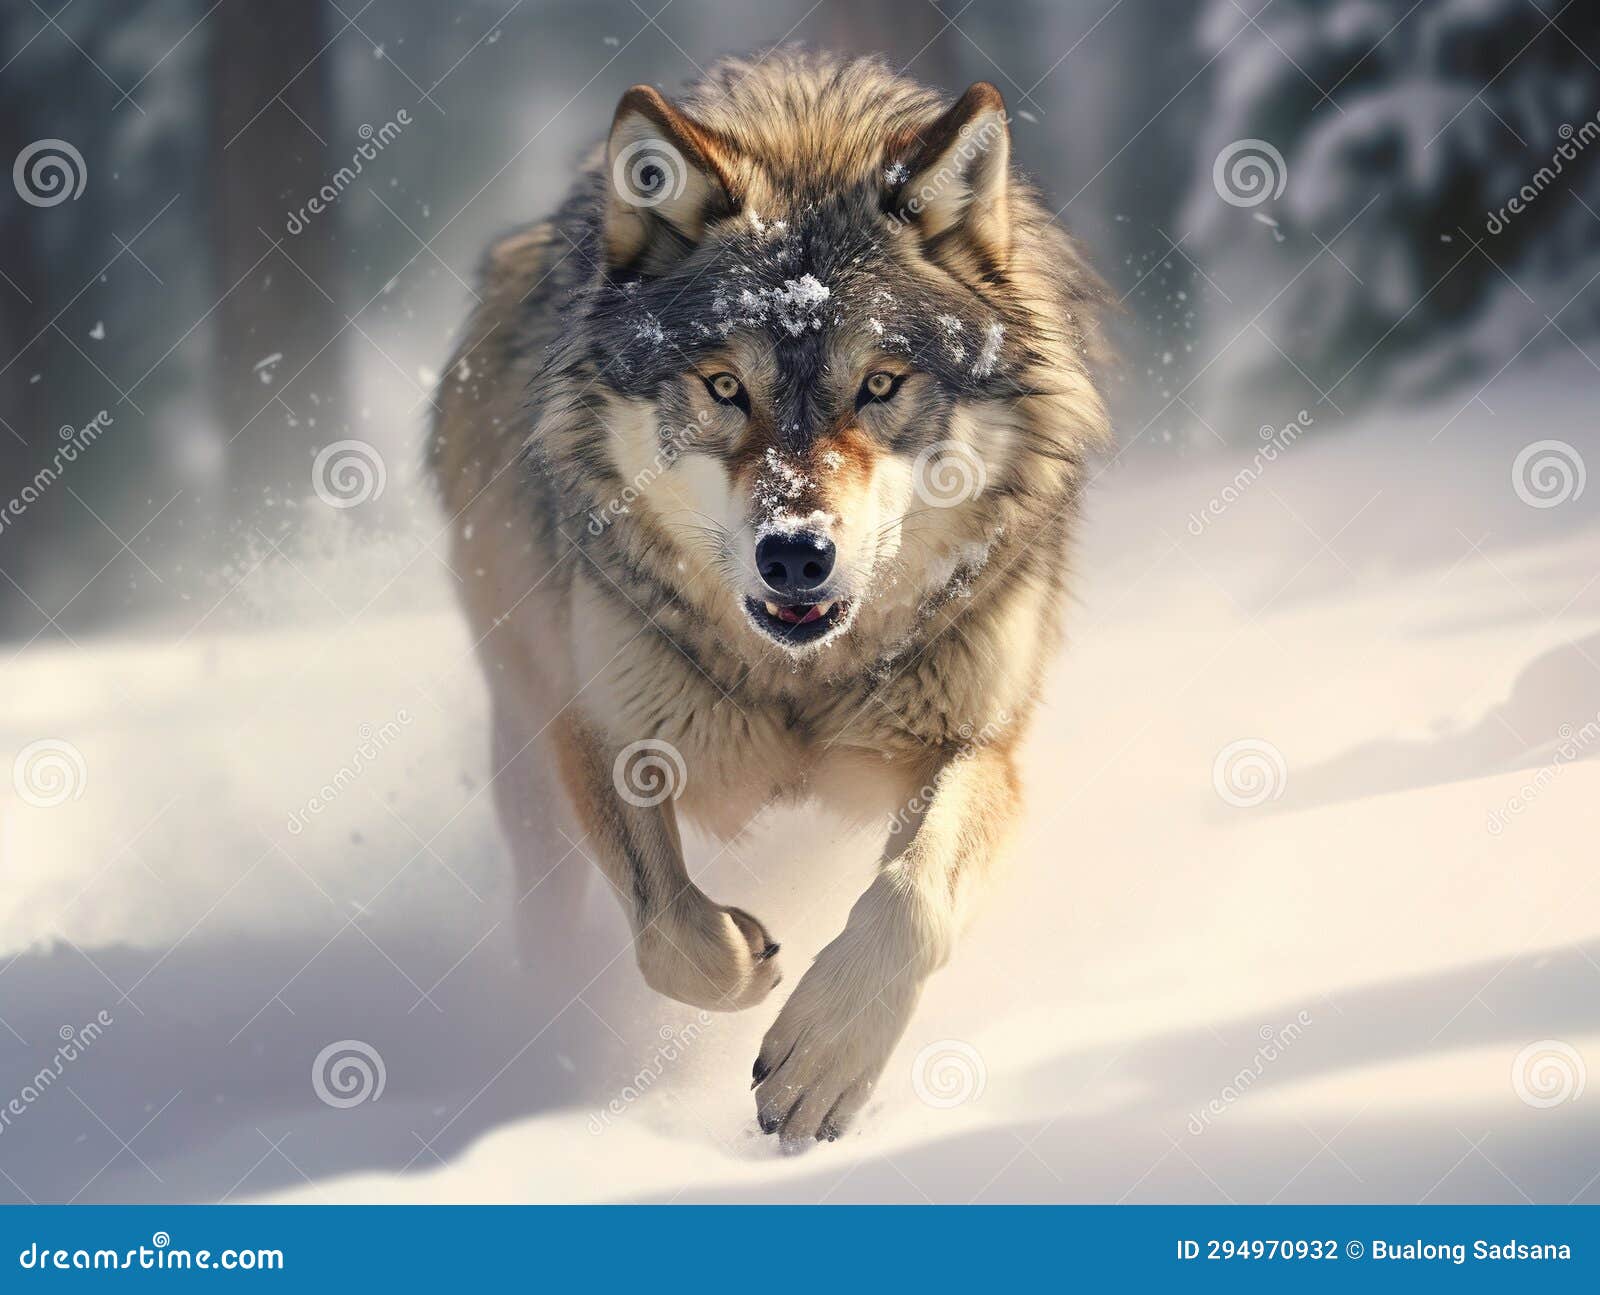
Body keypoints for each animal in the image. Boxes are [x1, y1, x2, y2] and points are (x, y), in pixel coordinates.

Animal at [429, 47, 1109, 1146]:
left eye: (879, 384)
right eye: (724, 388)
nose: (795, 556)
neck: (799, 680)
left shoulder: (979, 744)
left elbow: (908, 897)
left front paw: (823, 1057)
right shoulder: (599, 728)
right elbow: (671, 928)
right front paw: (748, 958)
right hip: (522, 731)